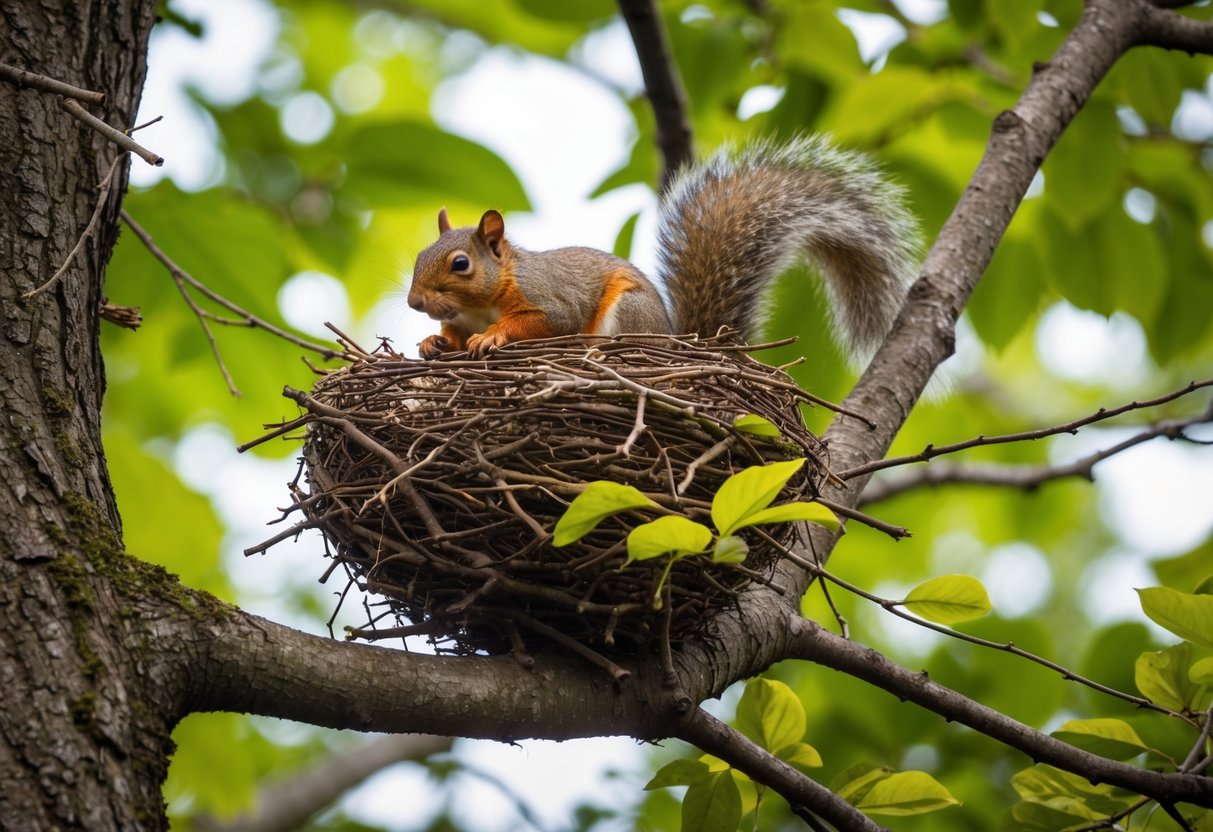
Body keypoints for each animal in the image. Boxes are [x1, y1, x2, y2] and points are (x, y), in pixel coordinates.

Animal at [407, 135, 920, 362]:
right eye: (417, 257)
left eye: (460, 264)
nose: (414, 302)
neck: (483, 302)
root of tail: (681, 342)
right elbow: (452, 335)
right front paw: (435, 341)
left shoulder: (551, 300)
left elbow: (546, 321)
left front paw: (493, 336)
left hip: (629, 316)